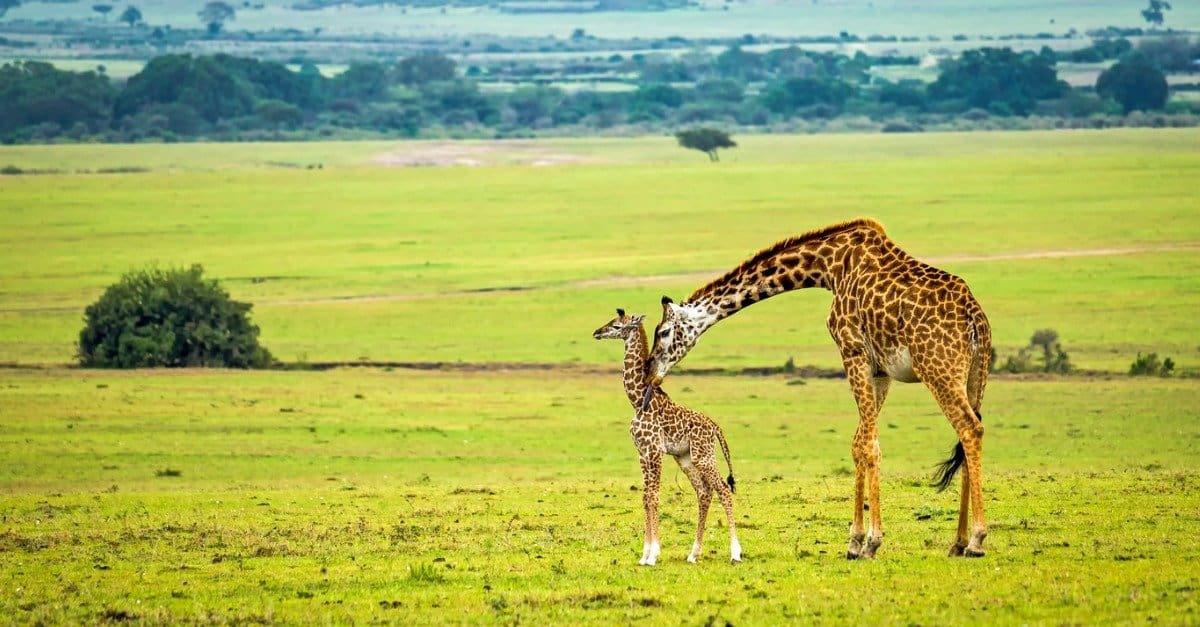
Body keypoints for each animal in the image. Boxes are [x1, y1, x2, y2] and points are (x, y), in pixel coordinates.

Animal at [593, 308, 742, 566]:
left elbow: (654, 496)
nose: (597, 332)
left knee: (723, 489)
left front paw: (653, 555)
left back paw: (735, 553)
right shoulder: (642, 453)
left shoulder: (654, 450)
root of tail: (715, 427)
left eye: (616, 326)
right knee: (704, 492)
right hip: (686, 459)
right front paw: (644, 555)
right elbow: (645, 497)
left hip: (704, 455)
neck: (637, 400)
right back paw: (693, 554)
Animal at [642, 218, 991, 559]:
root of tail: (975, 317)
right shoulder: (881, 370)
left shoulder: (853, 352)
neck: (830, 267)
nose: (650, 373)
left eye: (663, 332)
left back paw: (976, 540)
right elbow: (859, 442)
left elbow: (868, 445)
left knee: (969, 428)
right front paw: (855, 542)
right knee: (968, 432)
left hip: (938, 369)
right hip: (976, 373)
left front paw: (871, 541)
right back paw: (958, 543)